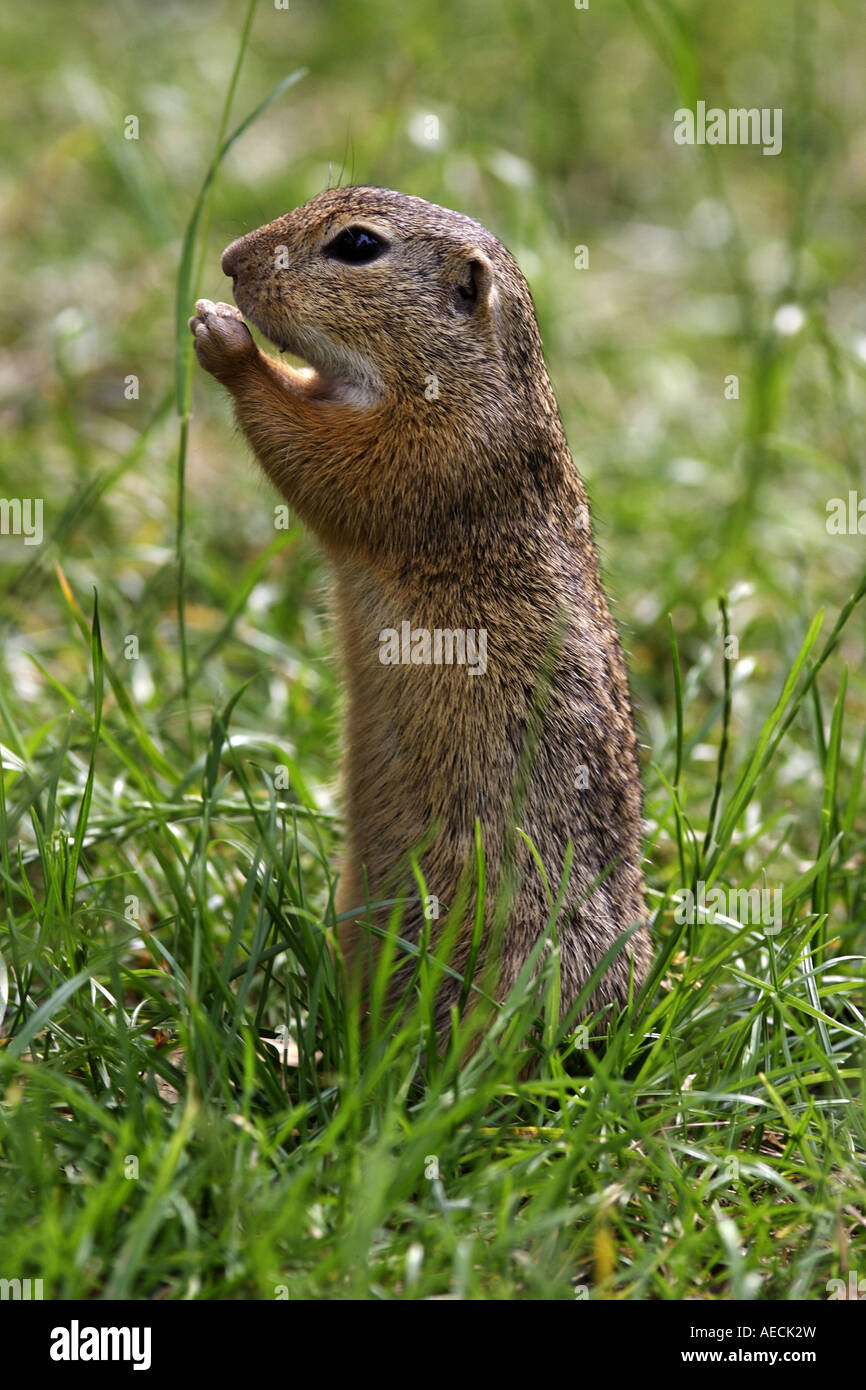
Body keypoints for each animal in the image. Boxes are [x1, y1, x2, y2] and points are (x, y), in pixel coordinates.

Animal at [189, 185, 651, 1040]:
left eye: (358, 246)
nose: (232, 260)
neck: (462, 375)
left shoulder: (430, 454)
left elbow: (319, 458)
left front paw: (227, 342)